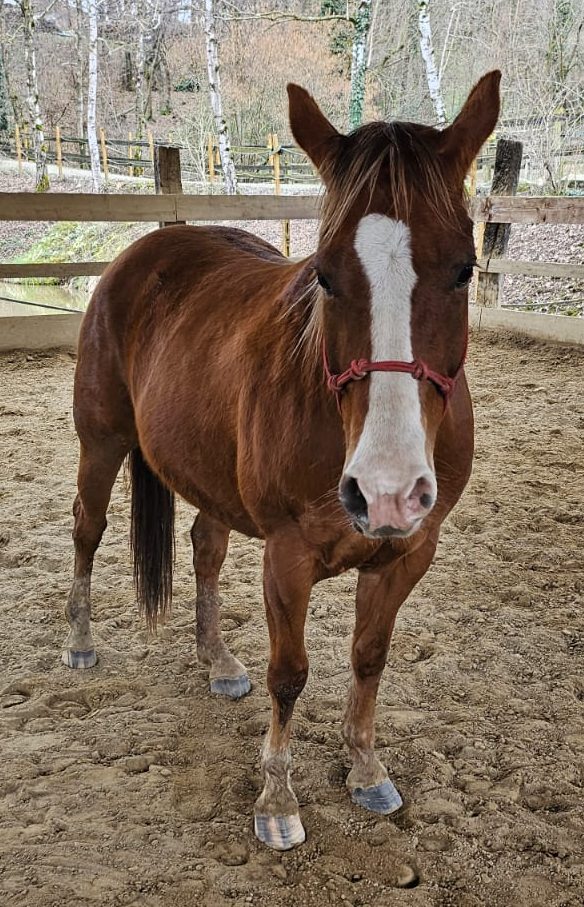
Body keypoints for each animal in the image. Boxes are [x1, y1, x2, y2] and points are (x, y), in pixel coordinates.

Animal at [63, 71, 501, 850]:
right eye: (324, 275)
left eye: (463, 270)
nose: (385, 490)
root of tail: (142, 253)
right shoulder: (287, 555)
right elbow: (290, 673)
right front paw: (276, 799)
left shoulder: (408, 553)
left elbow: (368, 656)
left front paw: (365, 769)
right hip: (102, 440)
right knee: (88, 527)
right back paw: (80, 641)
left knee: (203, 547)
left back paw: (217, 660)